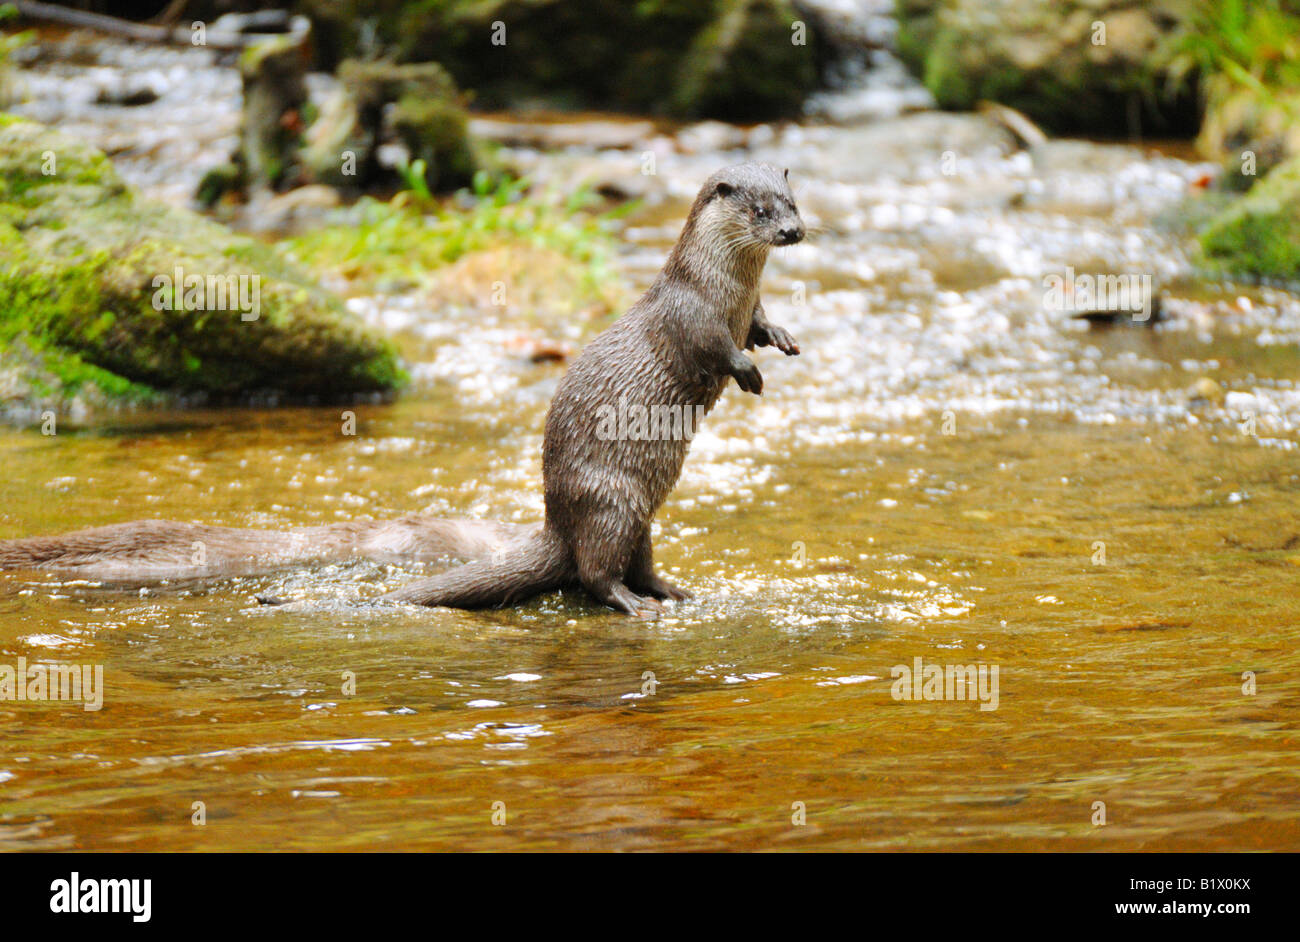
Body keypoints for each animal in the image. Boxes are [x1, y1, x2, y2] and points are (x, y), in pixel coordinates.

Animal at [0, 163, 804, 614]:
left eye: (790, 203)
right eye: (759, 209)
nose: (794, 231)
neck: (725, 287)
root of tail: (556, 518)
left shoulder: (745, 305)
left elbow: (762, 322)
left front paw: (782, 340)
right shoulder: (690, 315)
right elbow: (710, 348)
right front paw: (748, 371)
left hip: (637, 513)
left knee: (627, 565)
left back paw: (676, 591)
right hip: (610, 501)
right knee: (594, 574)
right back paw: (638, 606)